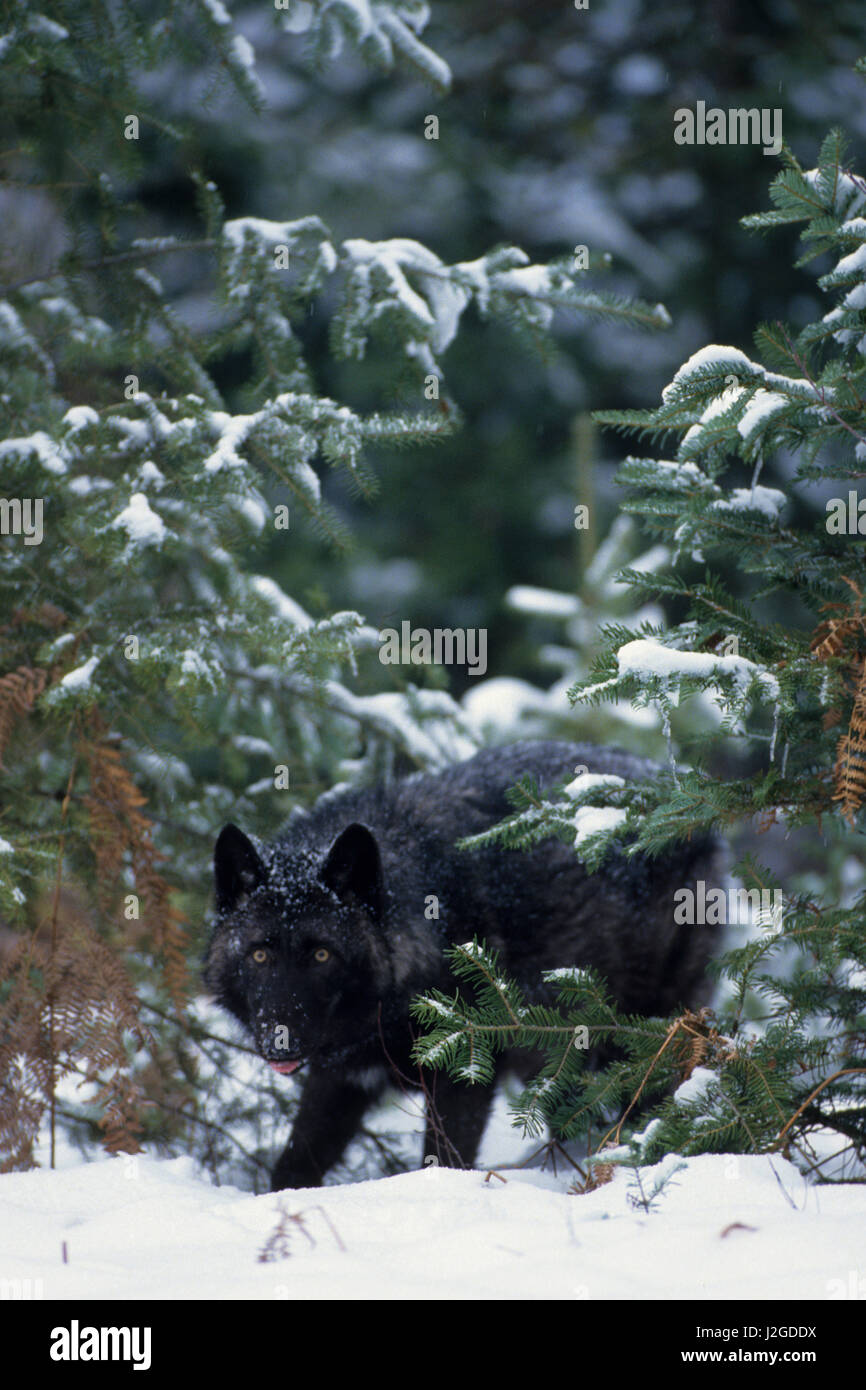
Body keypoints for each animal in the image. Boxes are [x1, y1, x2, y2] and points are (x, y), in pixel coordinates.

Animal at [204, 740, 722, 1189]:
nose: (279, 1041)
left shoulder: (466, 1071)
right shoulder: (340, 1080)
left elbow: (444, 1160)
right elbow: (293, 1166)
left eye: (321, 954)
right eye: (259, 954)